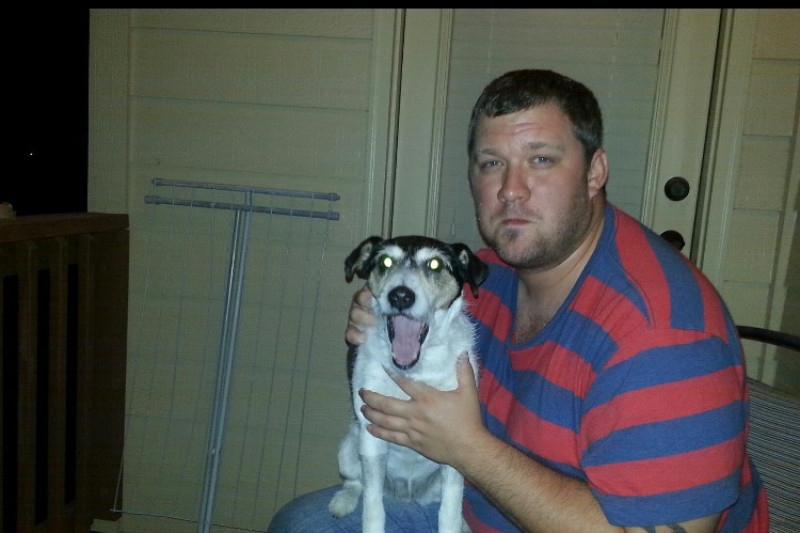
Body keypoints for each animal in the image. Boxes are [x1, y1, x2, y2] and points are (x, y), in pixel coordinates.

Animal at [328, 235, 489, 533]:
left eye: (435, 264)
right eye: (385, 261)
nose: (400, 295)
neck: (414, 372)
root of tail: (408, 496)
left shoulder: (454, 449)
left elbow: (449, 510)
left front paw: (453, 524)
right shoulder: (371, 438)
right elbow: (373, 506)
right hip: (349, 450)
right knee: (356, 483)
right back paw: (342, 502)